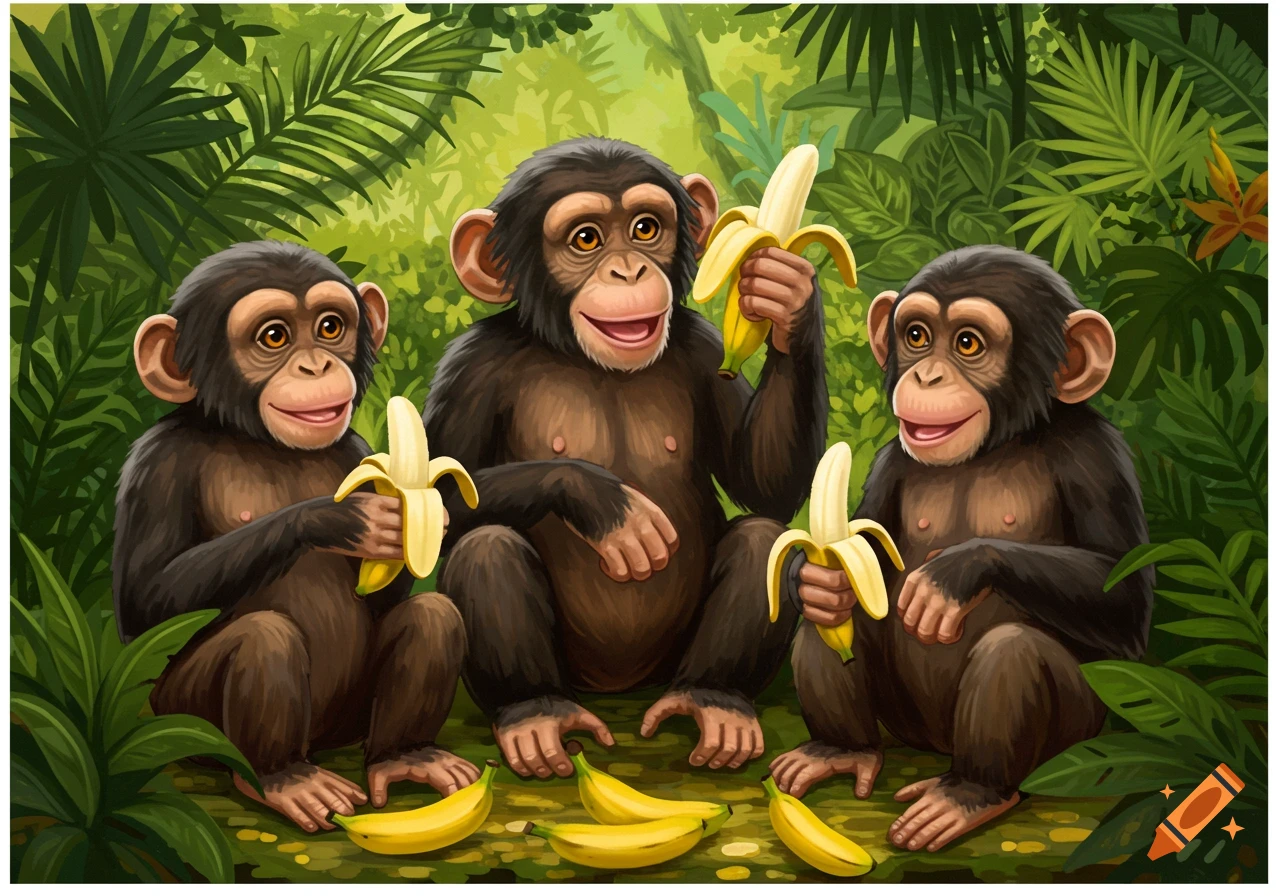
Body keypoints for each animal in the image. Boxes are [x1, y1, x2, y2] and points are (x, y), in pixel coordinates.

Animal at [112, 240, 477, 833]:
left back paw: (405, 756)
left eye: (330, 327)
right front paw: (339, 520)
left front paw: (429, 524)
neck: (262, 440)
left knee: (434, 616)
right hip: (183, 716)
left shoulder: (354, 448)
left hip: (350, 721)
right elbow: (146, 601)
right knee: (264, 638)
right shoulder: (155, 465)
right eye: (275, 337)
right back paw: (283, 779)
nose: (316, 364)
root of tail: (320, 746)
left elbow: (390, 595)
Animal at [424, 136, 830, 777]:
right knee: (486, 545)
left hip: (669, 663)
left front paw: (785, 295)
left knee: (764, 539)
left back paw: (715, 700)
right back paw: (535, 714)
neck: (583, 356)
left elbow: (764, 486)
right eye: (587, 239)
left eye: (645, 228)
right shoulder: (471, 367)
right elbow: (433, 499)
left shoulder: (703, 348)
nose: (629, 269)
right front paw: (603, 504)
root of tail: (621, 686)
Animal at [769, 246, 1154, 853]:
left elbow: (1125, 594)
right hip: (902, 722)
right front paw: (819, 580)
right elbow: (868, 556)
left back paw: (968, 794)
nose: (927, 374)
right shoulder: (890, 461)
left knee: (1013, 652)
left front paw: (954, 575)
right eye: (917, 335)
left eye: (968, 343)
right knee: (827, 626)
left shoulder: (1096, 455)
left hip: (1075, 735)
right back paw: (839, 748)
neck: (995, 445)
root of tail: (935, 749)